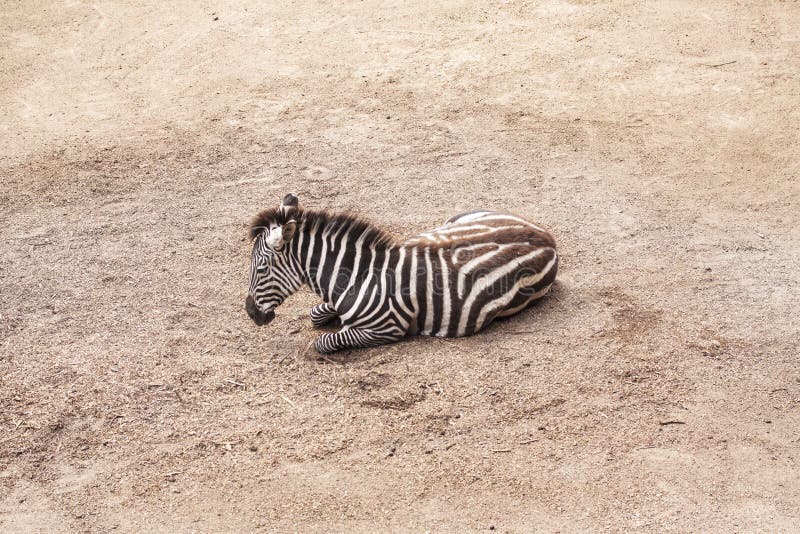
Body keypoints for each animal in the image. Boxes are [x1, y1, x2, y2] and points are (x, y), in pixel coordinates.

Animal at [245, 193, 558, 353]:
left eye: (260, 268)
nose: (250, 313)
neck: (359, 276)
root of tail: (546, 236)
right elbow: (317, 314)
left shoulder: (387, 328)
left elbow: (326, 341)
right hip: (453, 221)